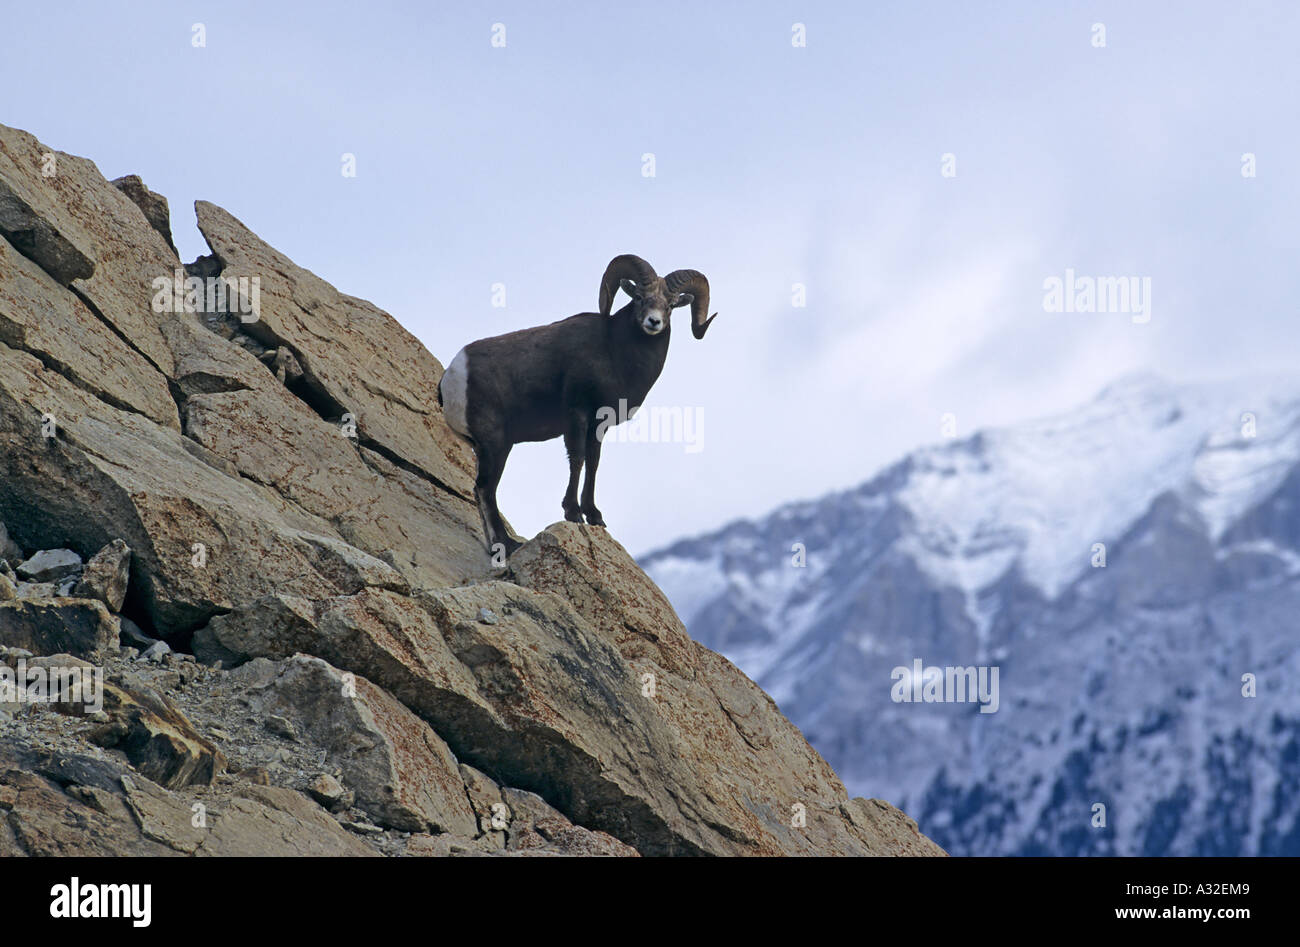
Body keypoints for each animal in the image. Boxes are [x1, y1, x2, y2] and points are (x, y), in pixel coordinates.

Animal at [438, 254, 716, 557]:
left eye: (670, 305)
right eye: (640, 297)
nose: (653, 322)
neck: (615, 353)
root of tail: (452, 376)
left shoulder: (599, 424)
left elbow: (593, 463)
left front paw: (594, 516)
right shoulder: (577, 415)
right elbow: (578, 459)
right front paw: (573, 512)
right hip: (496, 444)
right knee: (486, 489)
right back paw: (507, 545)